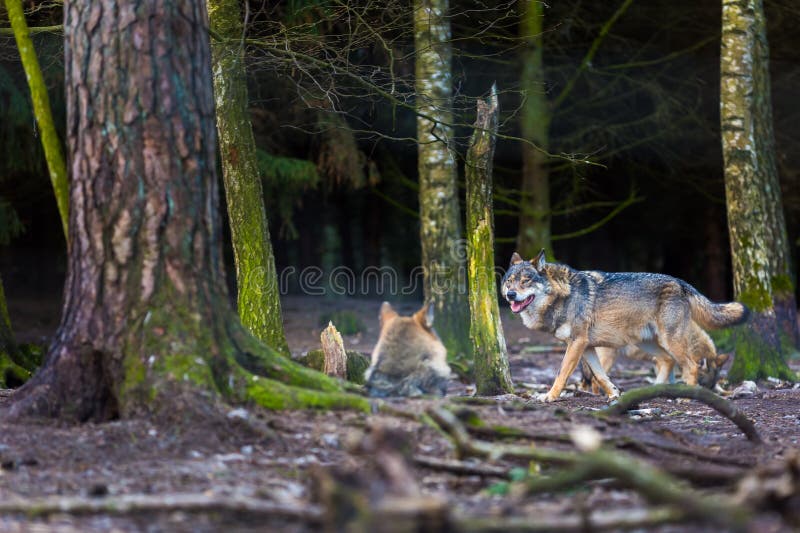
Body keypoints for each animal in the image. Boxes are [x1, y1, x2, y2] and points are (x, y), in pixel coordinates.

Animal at [501, 250, 748, 402]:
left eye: (526, 281)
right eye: (509, 281)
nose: (510, 295)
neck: (564, 296)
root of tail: (681, 282)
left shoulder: (577, 343)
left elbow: (561, 374)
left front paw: (549, 397)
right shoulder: (587, 346)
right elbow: (601, 376)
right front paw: (614, 395)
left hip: (669, 341)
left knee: (690, 365)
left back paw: (686, 396)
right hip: (648, 343)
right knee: (667, 361)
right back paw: (653, 392)